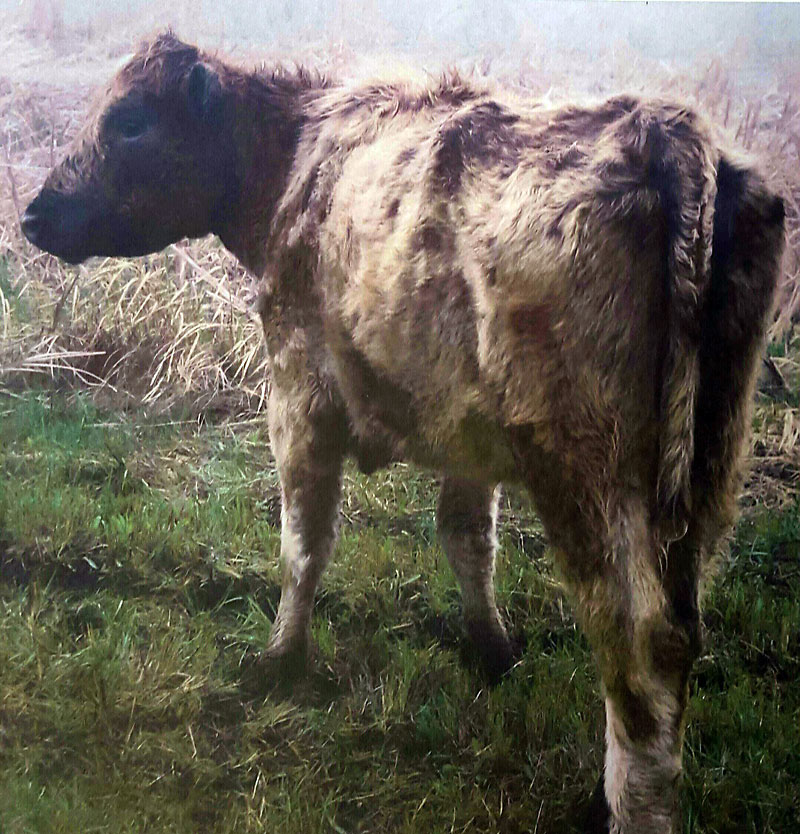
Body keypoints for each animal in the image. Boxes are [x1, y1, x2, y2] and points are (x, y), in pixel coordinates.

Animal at [21, 33, 785, 834]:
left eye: (130, 121)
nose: (35, 215)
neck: (298, 155)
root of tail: (671, 137)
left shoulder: (299, 392)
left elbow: (304, 544)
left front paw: (281, 660)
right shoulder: (468, 434)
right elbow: (466, 538)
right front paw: (492, 652)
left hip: (589, 478)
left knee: (639, 646)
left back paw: (630, 807)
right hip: (702, 476)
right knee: (680, 631)